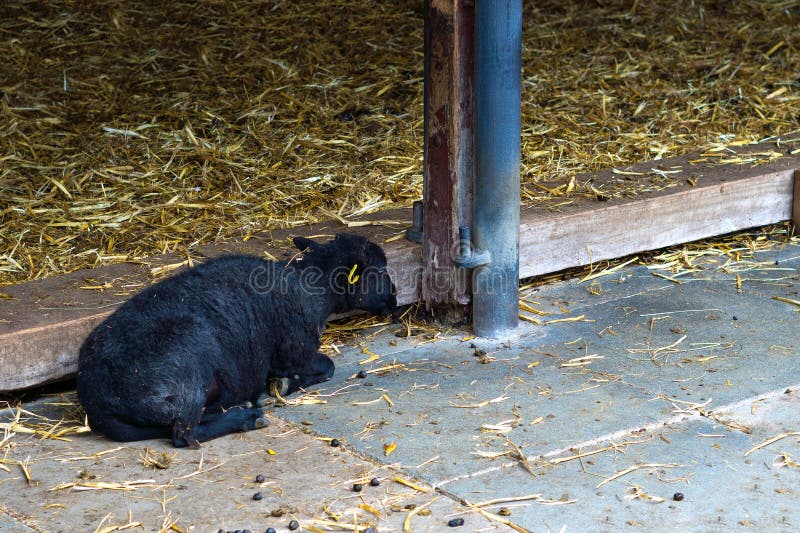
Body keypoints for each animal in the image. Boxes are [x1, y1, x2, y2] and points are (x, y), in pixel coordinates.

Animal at [77, 233, 396, 448]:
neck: (309, 288)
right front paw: (282, 385)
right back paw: (247, 418)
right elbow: (326, 366)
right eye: (380, 269)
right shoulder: (295, 350)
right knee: (184, 434)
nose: (394, 298)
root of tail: (96, 398)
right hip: (185, 375)